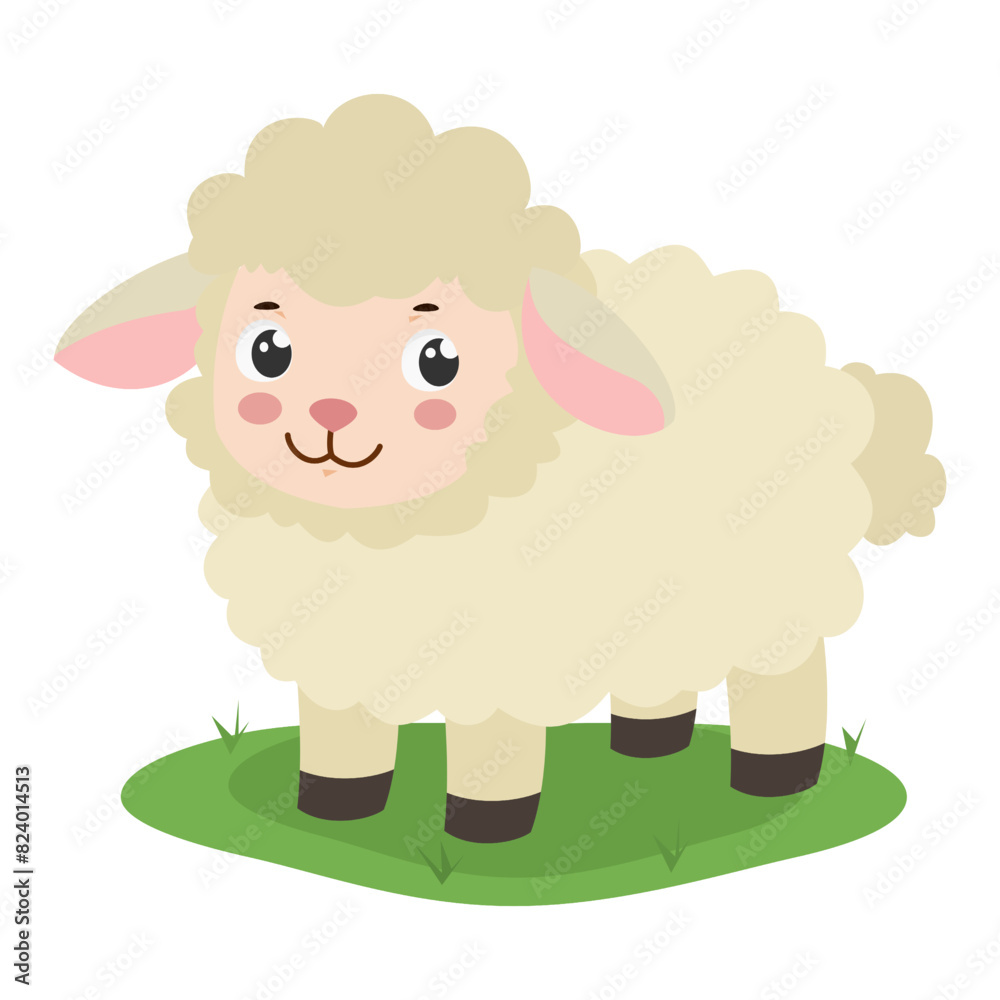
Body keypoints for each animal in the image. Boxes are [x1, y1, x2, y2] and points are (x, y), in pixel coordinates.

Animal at [56, 95, 944, 843]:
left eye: (438, 360)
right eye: (267, 350)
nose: (330, 414)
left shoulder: (499, 662)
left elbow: (493, 756)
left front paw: (484, 832)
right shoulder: (338, 653)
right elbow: (341, 745)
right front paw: (335, 811)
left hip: (777, 600)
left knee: (788, 682)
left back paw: (772, 777)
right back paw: (647, 742)